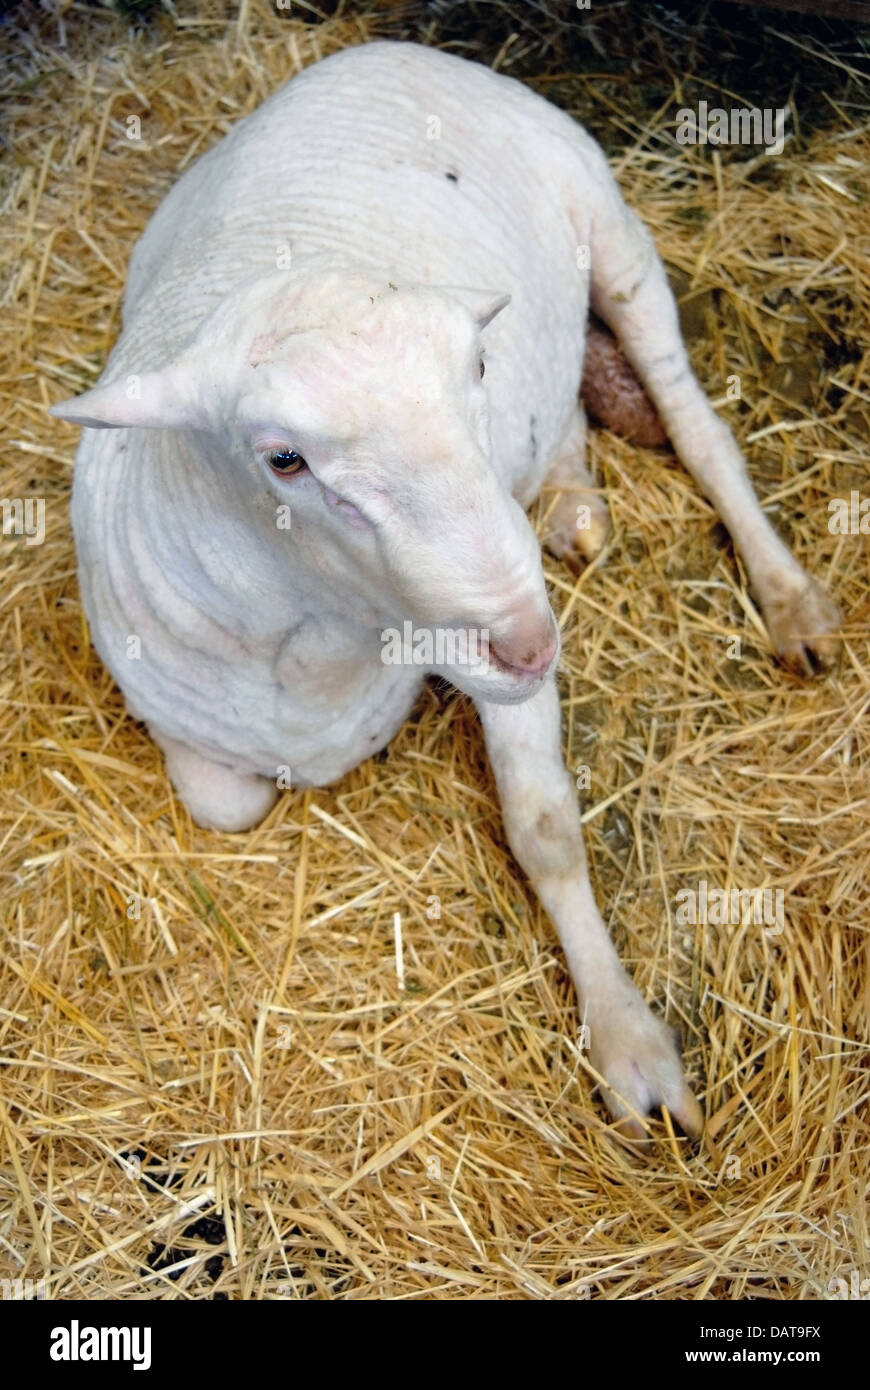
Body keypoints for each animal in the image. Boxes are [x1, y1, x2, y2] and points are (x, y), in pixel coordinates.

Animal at [51, 40, 840, 1139]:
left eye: (474, 370)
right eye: (283, 458)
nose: (529, 638)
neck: (318, 647)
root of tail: (383, 50)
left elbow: (546, 829)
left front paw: (629, 1043)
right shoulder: (184, 726)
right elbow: (226, 804)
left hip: (613, 234)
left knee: (701, 430)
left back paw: (788, 599)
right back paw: (571, 500)